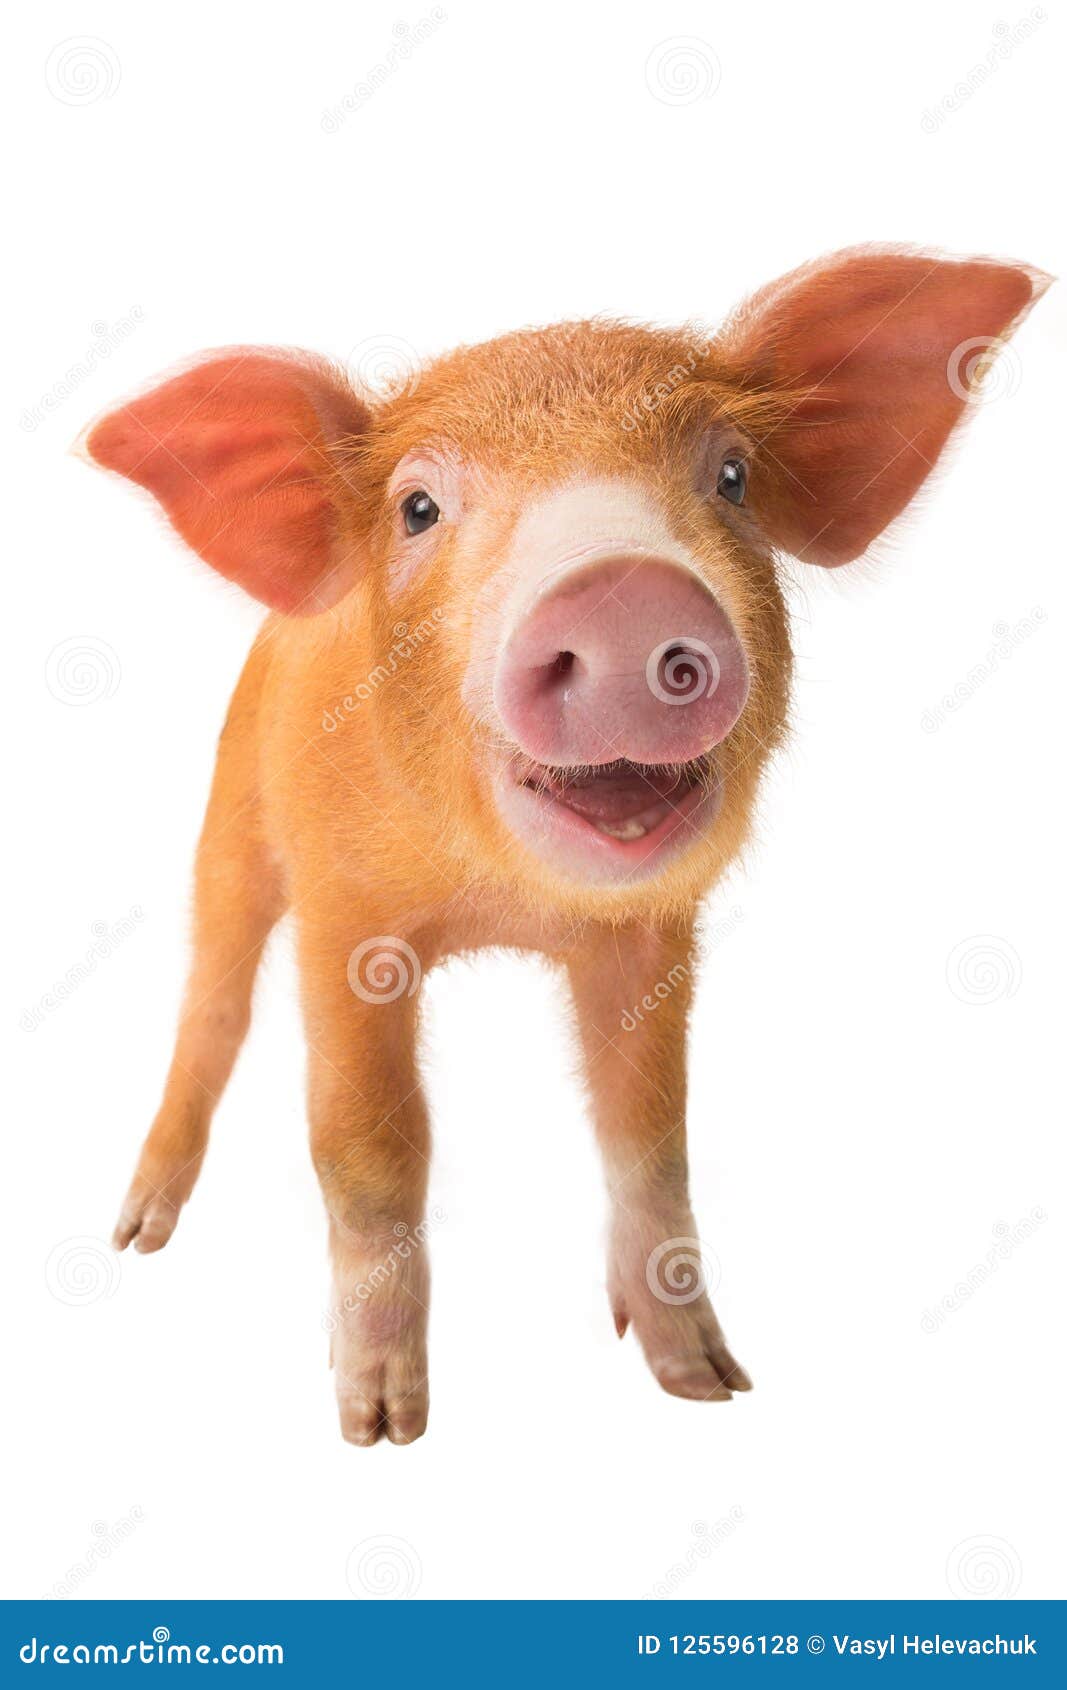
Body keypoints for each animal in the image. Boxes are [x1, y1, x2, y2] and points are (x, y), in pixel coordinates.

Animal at [84, 245, 1047, 1444]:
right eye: (417, 507)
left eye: (731, 477)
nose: (620, 585)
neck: (504, 901)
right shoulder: (345, 922)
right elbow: (369, 1151)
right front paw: (382, 1428)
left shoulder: (649, 939)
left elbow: (651, 1137)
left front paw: (708, 1383)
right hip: (229, 821)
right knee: (211, 1000)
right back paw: (137, 1234)